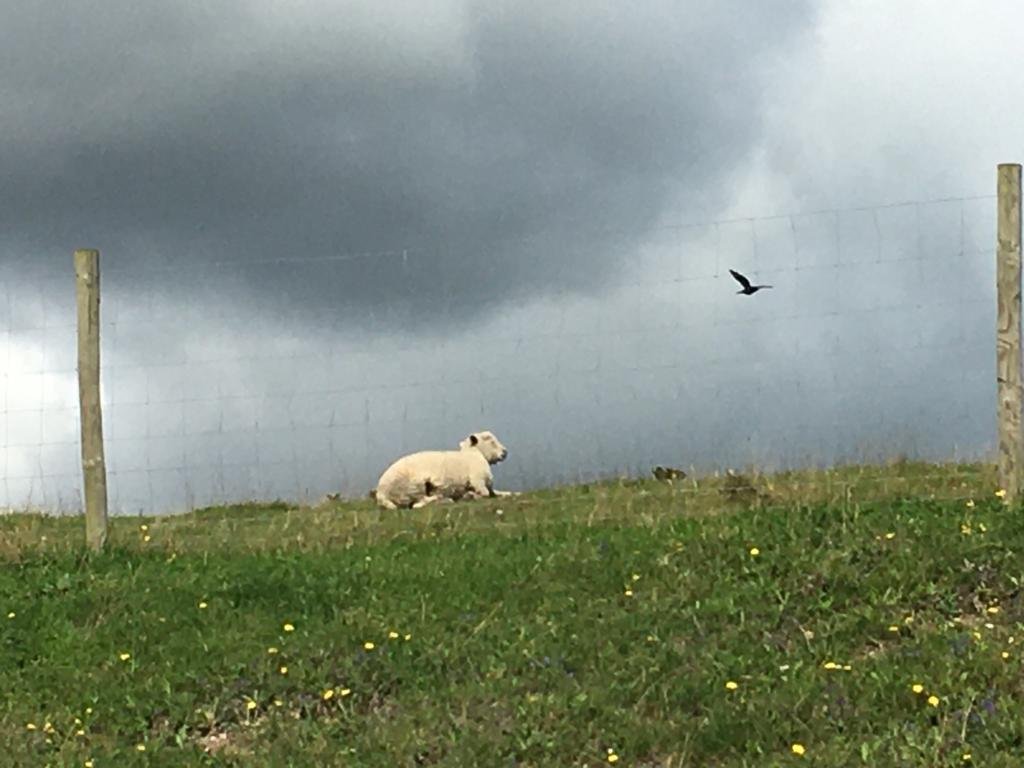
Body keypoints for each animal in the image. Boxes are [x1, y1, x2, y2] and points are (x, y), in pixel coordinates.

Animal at [373, 430, 515, 510]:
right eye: (490, 441)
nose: (505, 452)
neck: (473, 454)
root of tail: (381, 494)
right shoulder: (478, 481)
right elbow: (484, 494)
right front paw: (470, 495)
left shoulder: (489, 487)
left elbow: (502, 493)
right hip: (415, 487)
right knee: (418, 504)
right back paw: (446, 499)